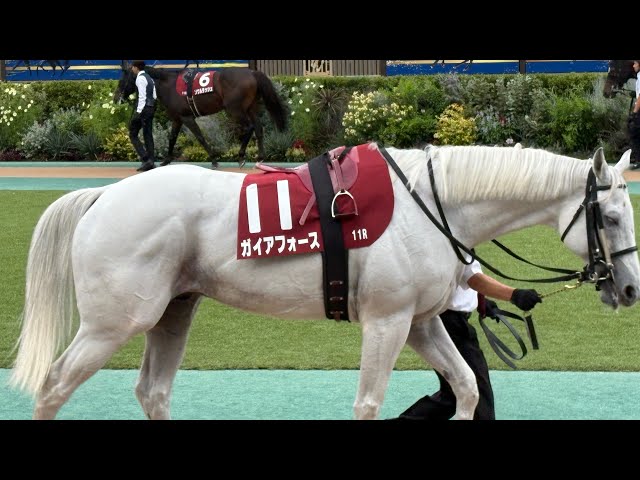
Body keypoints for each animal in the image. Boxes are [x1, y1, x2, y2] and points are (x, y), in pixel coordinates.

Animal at [8, 143, 640, 420]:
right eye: (610, 217)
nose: (630, 289)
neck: (430, 206)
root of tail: (104, 194)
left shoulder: (419, 322)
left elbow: (465, 388)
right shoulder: (386, 322)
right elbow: (368, 403)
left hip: (173, 311)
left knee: (152, 391)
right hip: (114, 323)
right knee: (55, 385)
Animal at [113, 62, 288, 169]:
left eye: (122, 81)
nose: (116, 98)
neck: (169, 85)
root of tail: (252, 72)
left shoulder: (187, 117)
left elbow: (200, 137)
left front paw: (214, 160)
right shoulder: (177, 118)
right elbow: (172, 138)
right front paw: (166, 160)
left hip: (235, 110)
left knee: (250, 127)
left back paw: (241, 156)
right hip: (251, 108)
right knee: (258, 128)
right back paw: (260, 156)